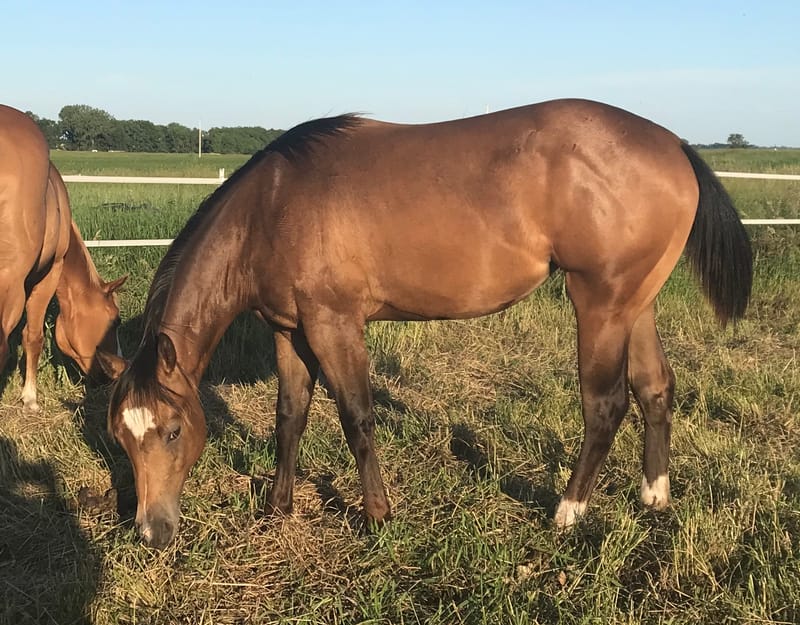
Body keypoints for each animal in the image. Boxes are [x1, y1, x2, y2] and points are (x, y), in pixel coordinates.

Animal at [99, 99, 752, 549]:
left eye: (173, 431)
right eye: (121, 436)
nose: (152, 532)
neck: (273, 204)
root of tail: (674, 144)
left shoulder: (335, 324)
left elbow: (356, 418)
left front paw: (377, 516)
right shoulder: (289, 329)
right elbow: (291, 415)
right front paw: (278, 506)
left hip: (599, 303)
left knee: (606, 404)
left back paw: (568, 512)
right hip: (636, 303)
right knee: (655, 388)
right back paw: (654, 498)